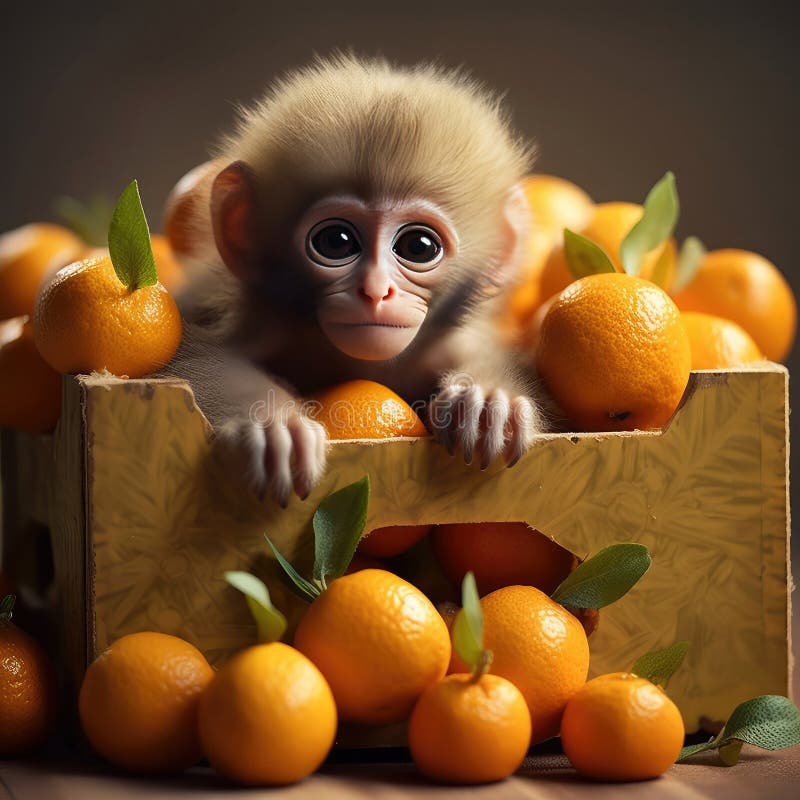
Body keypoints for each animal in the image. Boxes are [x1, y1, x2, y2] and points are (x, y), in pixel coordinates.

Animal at [167, 55, 546, 506]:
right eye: (337, 241)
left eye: (419, 246)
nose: (376, 290)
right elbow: (190, 357)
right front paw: (272, 423)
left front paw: (487, 399)